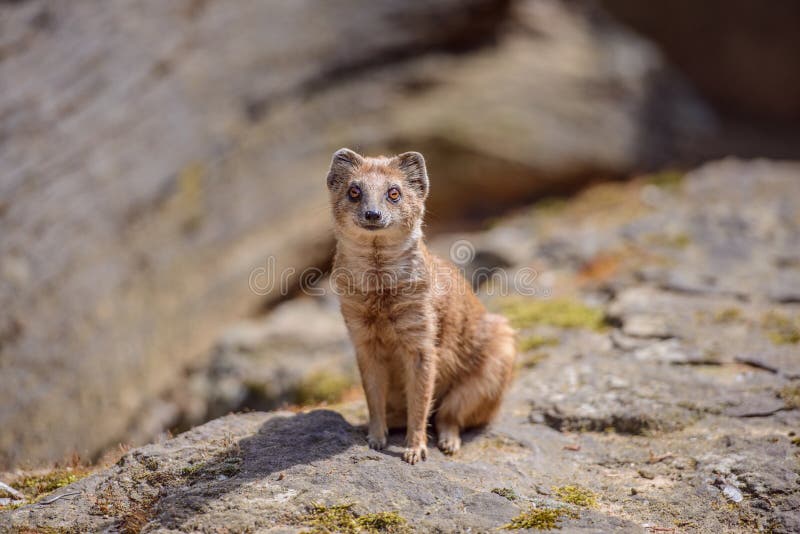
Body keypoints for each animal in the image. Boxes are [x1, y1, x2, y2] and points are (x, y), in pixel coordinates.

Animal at [326, 148, 515, 464]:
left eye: (394, 193)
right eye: (354, 191)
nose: (372, 214)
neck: (382, 297)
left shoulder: (423, 335)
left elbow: (421, 399)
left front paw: (415, 450)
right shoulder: (361, 336)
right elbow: (372, 395)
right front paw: (375, 438)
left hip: (498, 357)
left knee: (450, 416)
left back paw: (449, 442)